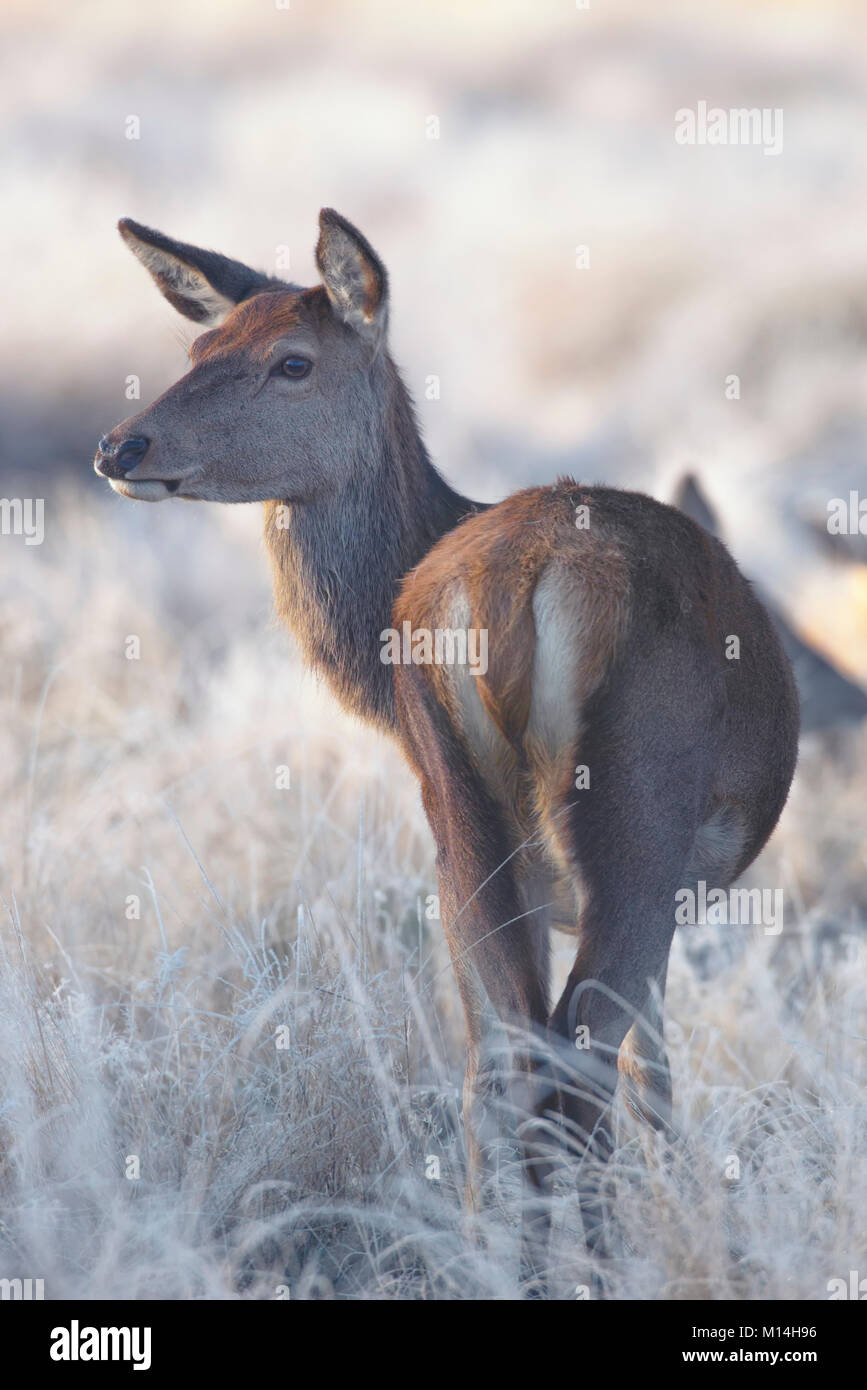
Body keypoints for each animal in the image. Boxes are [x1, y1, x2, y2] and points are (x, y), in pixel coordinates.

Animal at [94, 208, 799, 1295]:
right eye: (199, 352)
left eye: (289, 360)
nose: (122, 444)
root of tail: (525, 580)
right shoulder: (680, 889)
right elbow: (652, 1076)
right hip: (636, 823)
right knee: (573, 1065)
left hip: (465, 827)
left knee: (505, 1061)